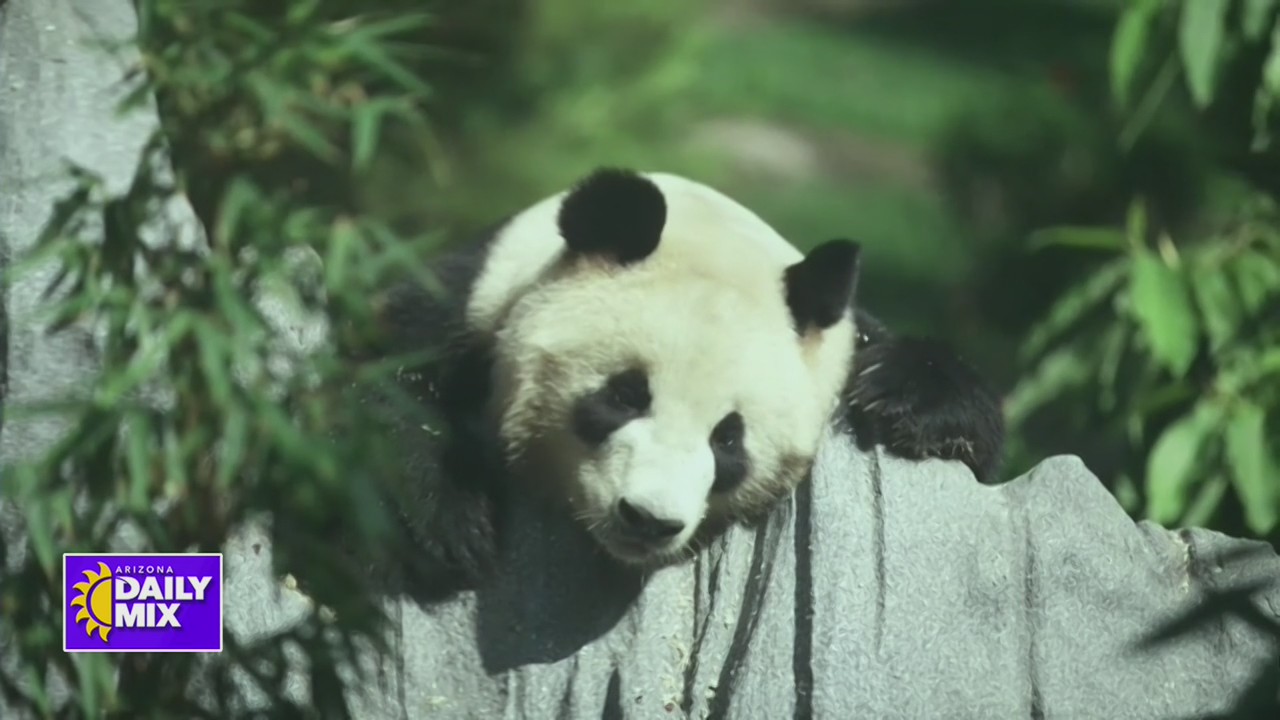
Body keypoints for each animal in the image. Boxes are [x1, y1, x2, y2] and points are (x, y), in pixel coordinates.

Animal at [368, 168, 1003, 597]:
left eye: (729, 439)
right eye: (624, 395)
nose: (649, 520)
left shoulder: (842, 340)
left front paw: (911, 404)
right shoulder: (465, 302)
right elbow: (381, 385)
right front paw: (448, 522)